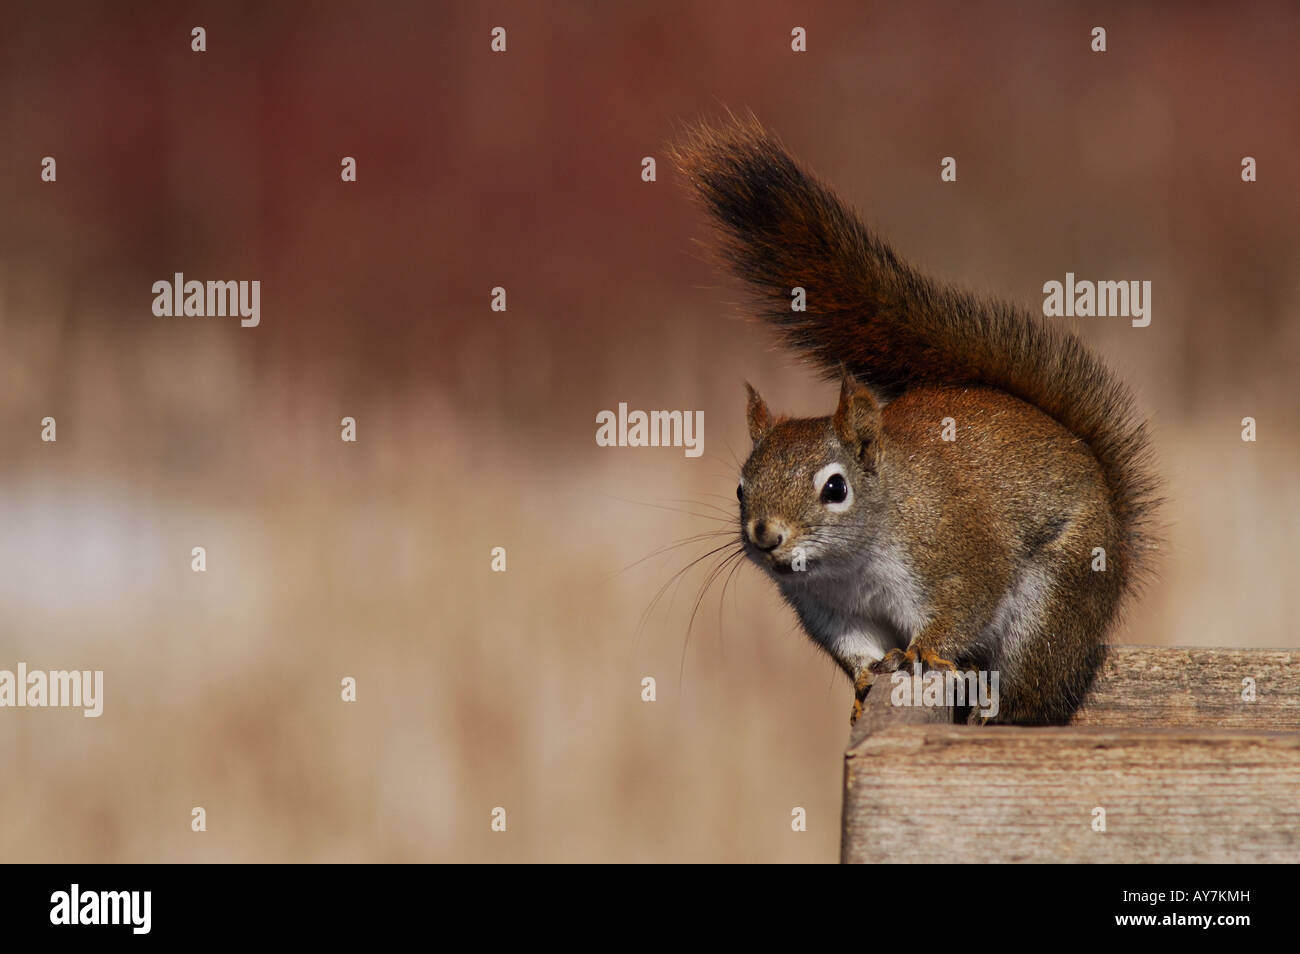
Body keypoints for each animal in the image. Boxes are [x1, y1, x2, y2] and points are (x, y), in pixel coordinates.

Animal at [671, 116, 1160, 725]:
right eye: (740, 489)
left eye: (835, 488)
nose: (765, 535)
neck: (848, 567)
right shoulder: (832, 612)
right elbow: (857, 649)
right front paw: (866, 679)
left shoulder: (956, 554)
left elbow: (965, 601)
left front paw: (924, 651)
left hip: (1053, 602)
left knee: (1029, 690)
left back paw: (993, 710)